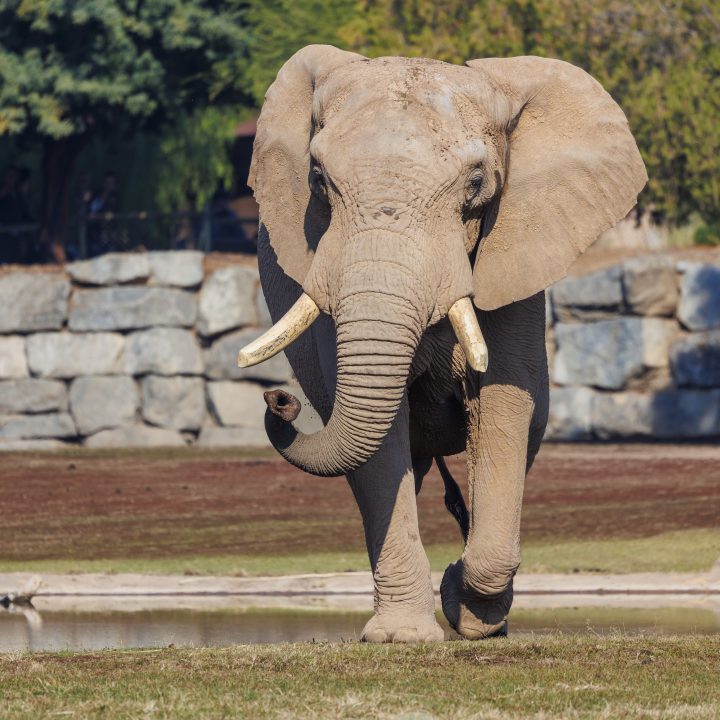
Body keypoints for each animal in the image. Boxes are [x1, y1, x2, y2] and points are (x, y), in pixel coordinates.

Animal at [238, 45, 647, 642]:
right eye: (316, 178)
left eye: (476, 184)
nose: (277, 400)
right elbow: (380, 438)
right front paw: (401, 638)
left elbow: (503, 408)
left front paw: (468, 610)